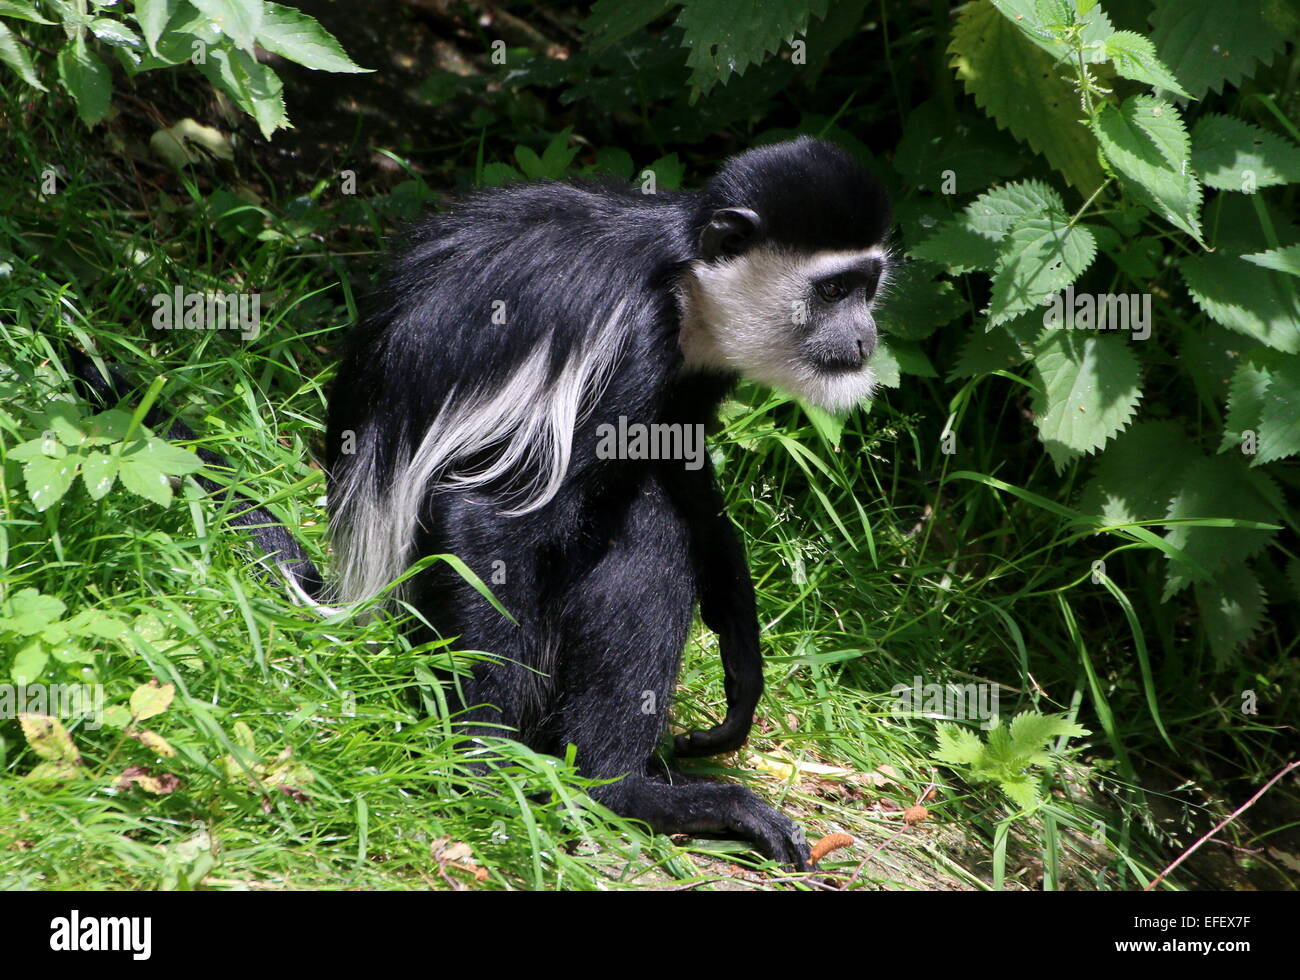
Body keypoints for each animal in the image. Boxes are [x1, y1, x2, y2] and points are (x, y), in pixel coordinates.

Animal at [70, 136, 892, 870]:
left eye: (866, 284)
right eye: (831, 290)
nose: (864, 338)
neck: (685, 276)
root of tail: (358, 595)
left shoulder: (694, 369)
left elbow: (685, 471)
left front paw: (741, 671)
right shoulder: (632, 342)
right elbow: (486, 514)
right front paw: (482, 770)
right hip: (434, 624)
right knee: (636, 528)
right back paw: (625, 791)